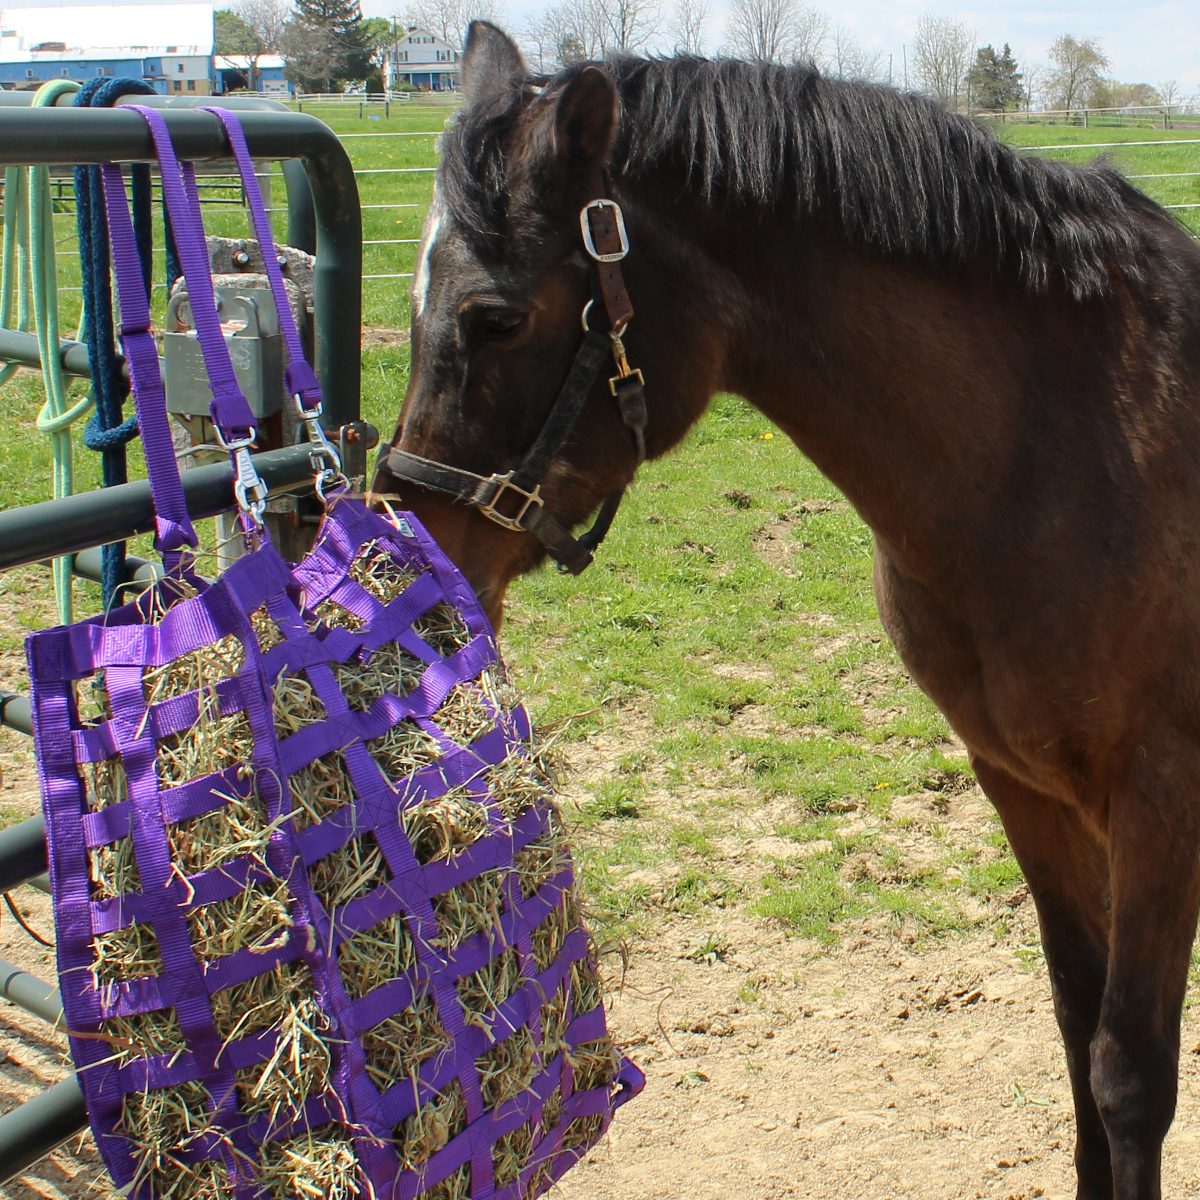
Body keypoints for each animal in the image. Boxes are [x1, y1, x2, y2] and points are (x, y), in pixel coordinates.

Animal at [370, 23, 1200, 1199]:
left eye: (495, 317)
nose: (416, 548)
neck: (1081, 439)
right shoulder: (1022, 784)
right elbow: (1078, 1037)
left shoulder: (1162, 796)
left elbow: (1130, 1075)